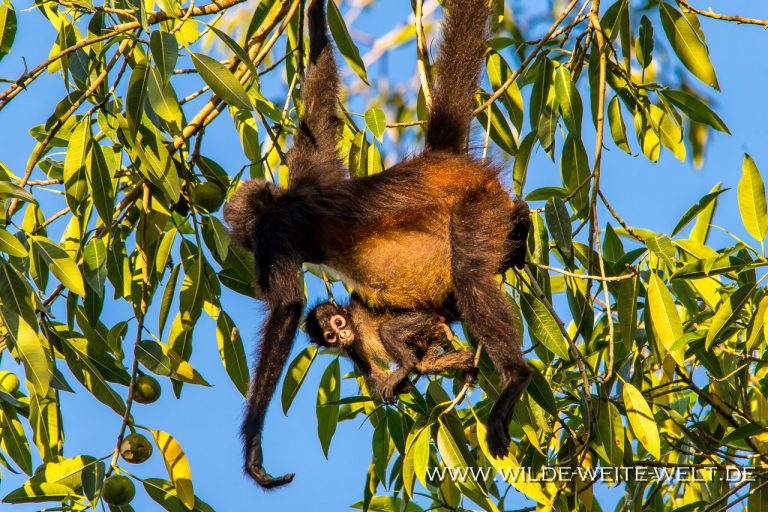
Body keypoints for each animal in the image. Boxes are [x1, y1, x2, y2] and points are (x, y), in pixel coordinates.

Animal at [305, 296, 476, 402]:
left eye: (339, 322)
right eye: (330, 335)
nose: (343, 334)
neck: (355, 327)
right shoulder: (350, 349)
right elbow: (375, 374)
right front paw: (402, 387)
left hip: (427, 316)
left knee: (386, 329)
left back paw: (407, 365)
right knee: (422, 366)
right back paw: (467, 359)